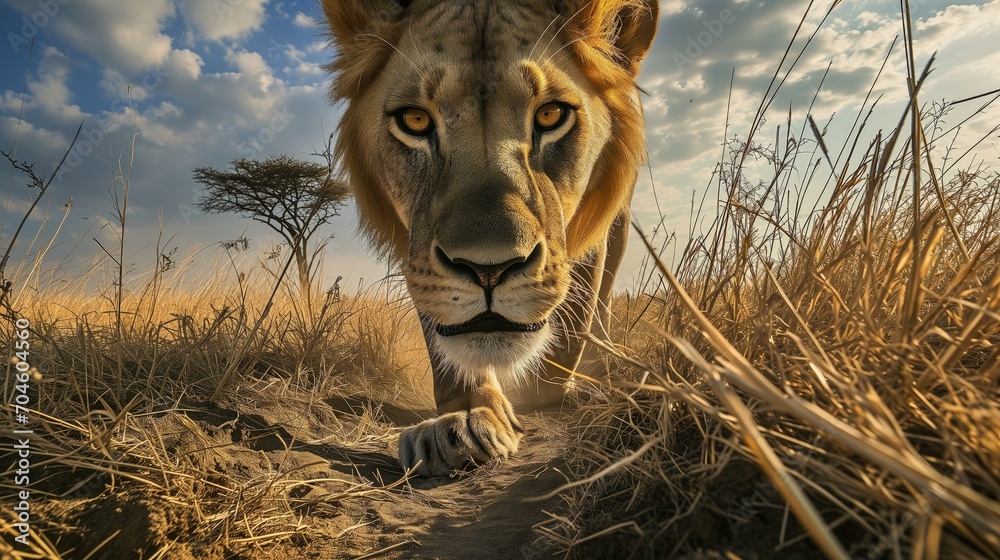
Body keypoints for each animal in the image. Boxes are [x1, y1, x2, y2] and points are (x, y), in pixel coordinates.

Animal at [322, 0, 658, 477]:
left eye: (551, 115)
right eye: (415, 120)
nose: (489, 270)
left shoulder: (597, 231)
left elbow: (574, 321)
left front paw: (545, 390)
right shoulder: (418, 251)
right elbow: (446, 339)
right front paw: (462, 418)